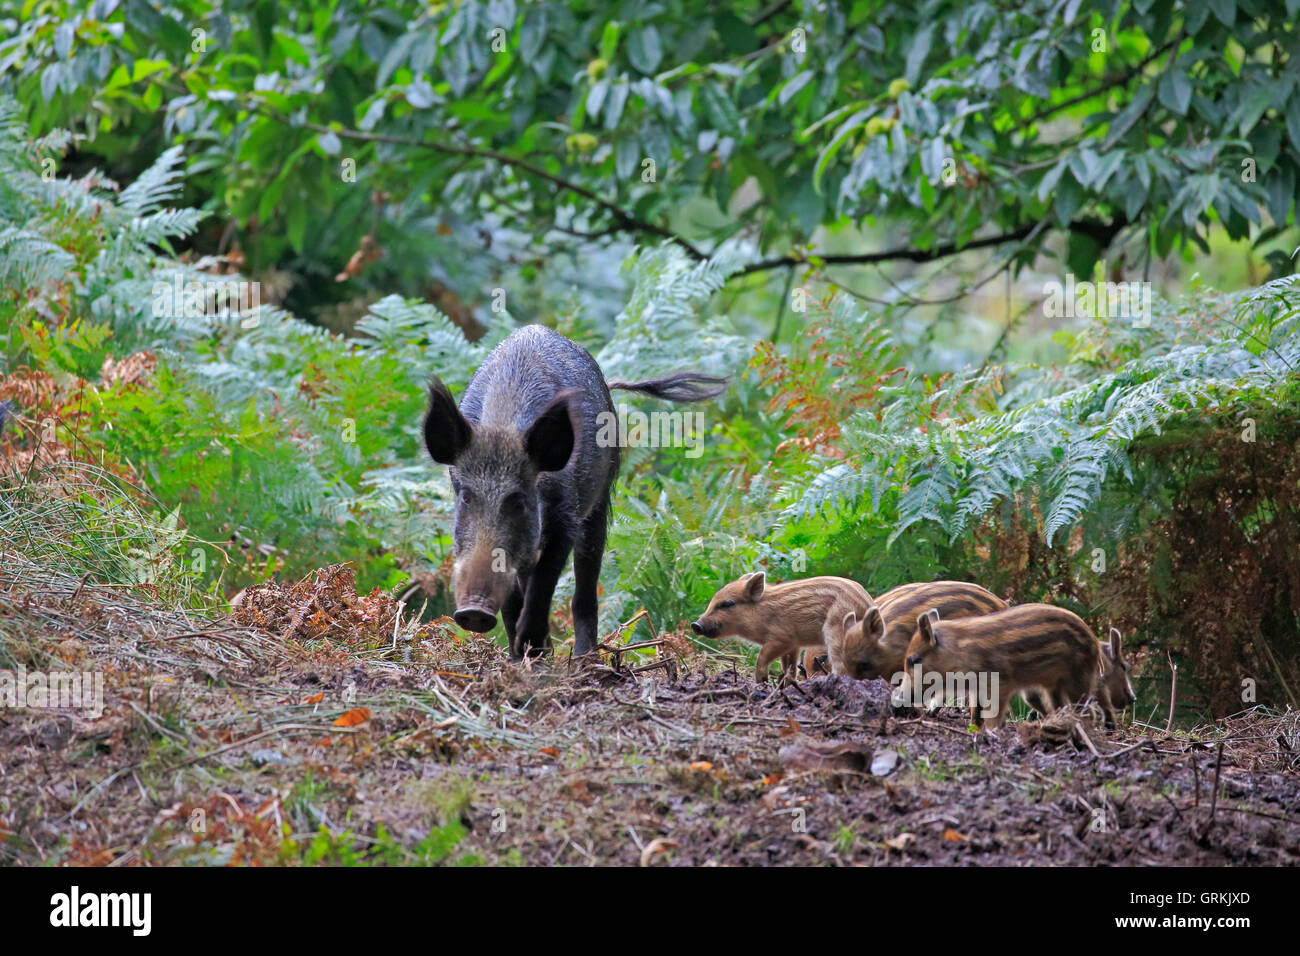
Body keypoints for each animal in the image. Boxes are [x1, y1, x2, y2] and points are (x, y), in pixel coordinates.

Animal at [423, 324, 725, 660]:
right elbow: (514, 599)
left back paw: (585, 658)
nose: (474, 611)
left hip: (601, 500)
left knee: (585, 588)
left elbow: (545, 582)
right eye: (466, 497)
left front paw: (533, 649)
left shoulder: (566, 518)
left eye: (519, 501)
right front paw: (521, 657)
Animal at [690, 572, 874, 683]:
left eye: (727, 604)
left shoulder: (782, 638)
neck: (761, 613)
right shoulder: (794, 646)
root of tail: (867, 604)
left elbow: (762, 658)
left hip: (836, 629)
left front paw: (761, 681)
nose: (695, 625)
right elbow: (789, 667)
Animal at [897, 604, 1102, 728]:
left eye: (913, 660)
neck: (960, 652)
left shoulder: (999, 685)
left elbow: (993, 715)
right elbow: (976, 711)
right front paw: (975, 729)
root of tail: (1095, 643)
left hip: (1078, 678)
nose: (900, 699)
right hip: (1052, 687)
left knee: (1087, 711)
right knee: (1058, 708)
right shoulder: (977, 688)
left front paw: (991, 731)